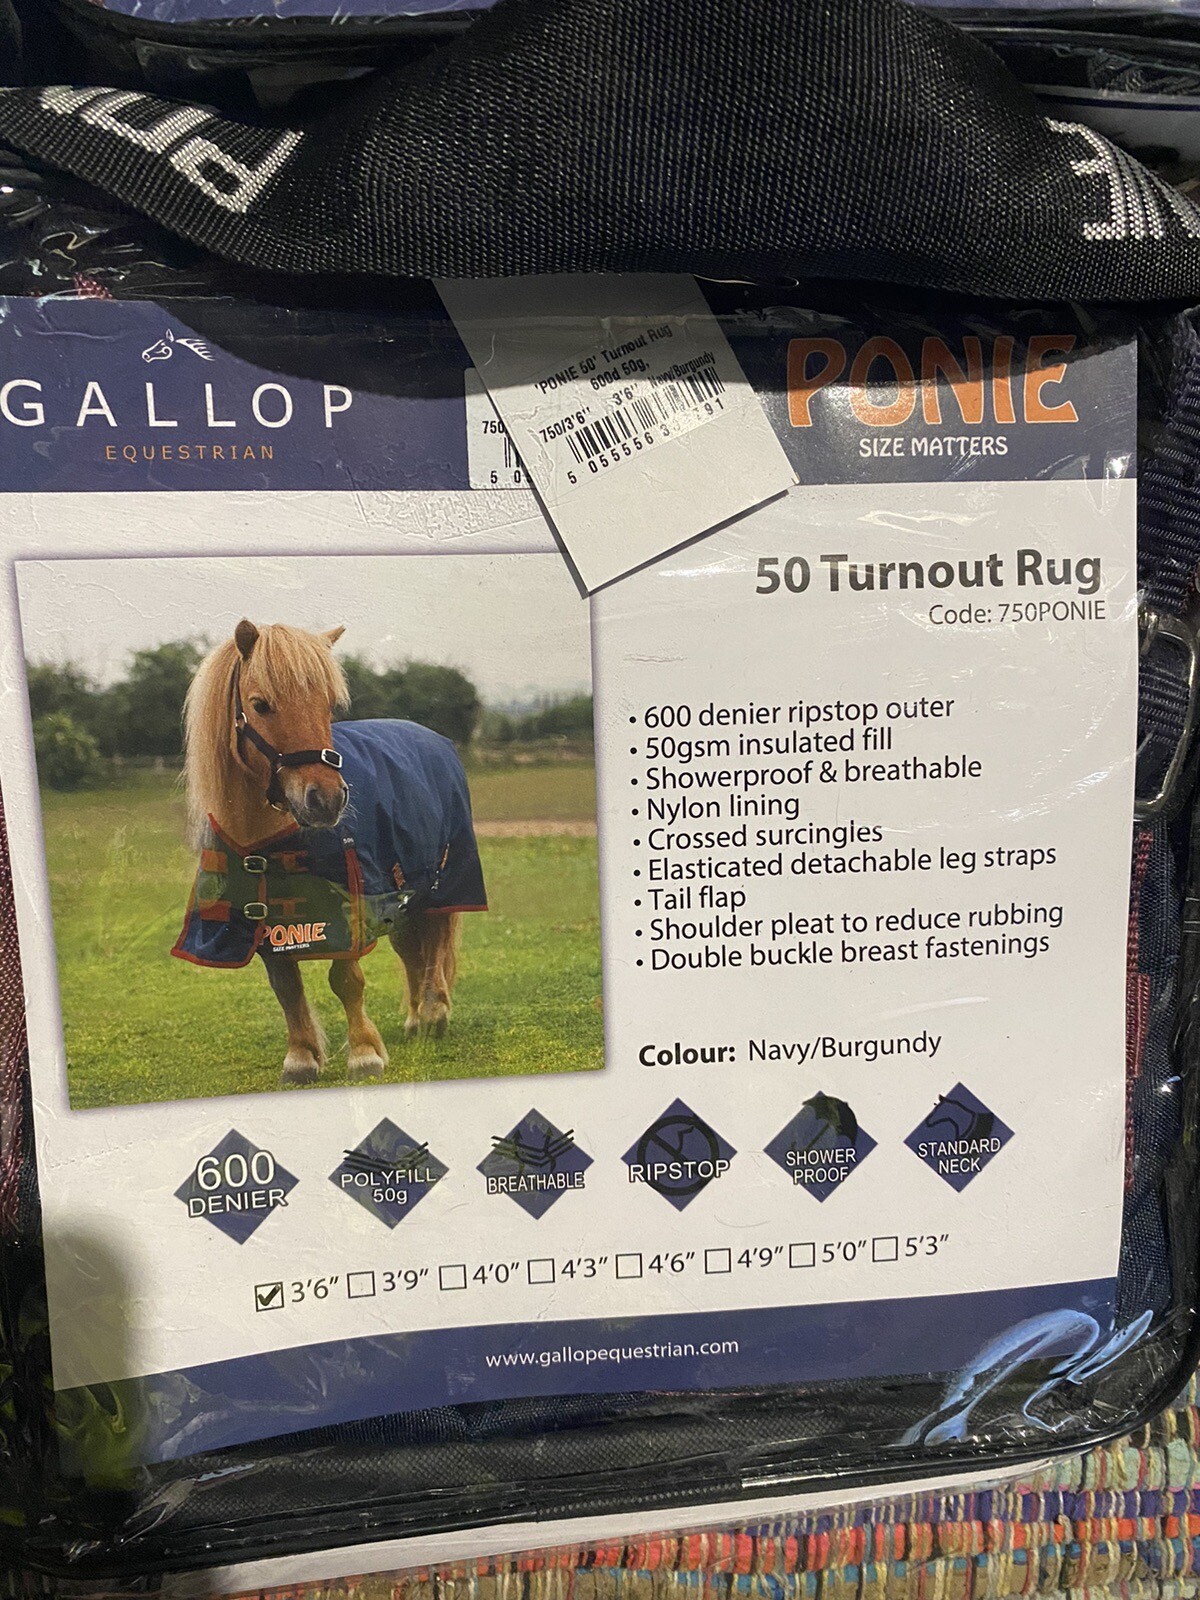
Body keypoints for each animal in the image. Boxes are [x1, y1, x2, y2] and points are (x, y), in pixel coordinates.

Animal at [175, 620, 486, 1085]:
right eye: (260, 705)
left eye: (326, 705)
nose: (326, 799)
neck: (270, 837)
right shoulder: (261, 916)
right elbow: (286, 985)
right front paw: (301, 1058)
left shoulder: (350, 902)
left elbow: (346, 978)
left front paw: (364, 1053)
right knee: (409, 949)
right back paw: (416, 1019)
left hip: (442, 882)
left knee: (435, 942)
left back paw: (433, 1013)